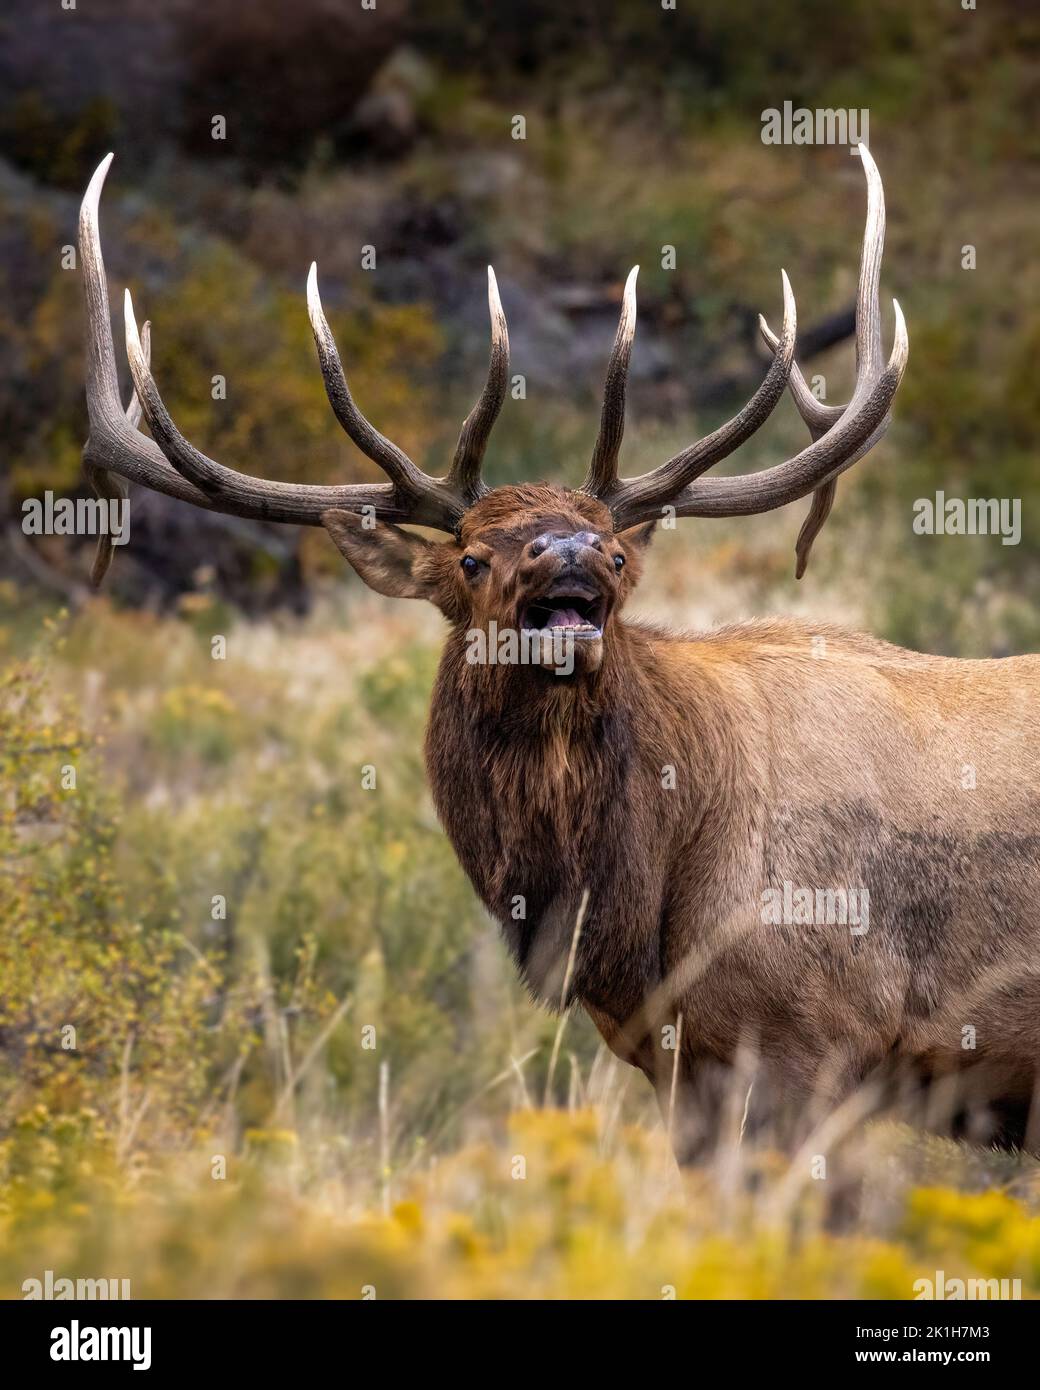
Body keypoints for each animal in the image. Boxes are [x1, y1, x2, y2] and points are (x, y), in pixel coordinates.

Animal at [78, 147, 1040, 1163]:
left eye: (615, 554)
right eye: (470, 557)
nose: (569, 552)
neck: (634, 909)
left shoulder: (815, 1033)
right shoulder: (683, 1065)